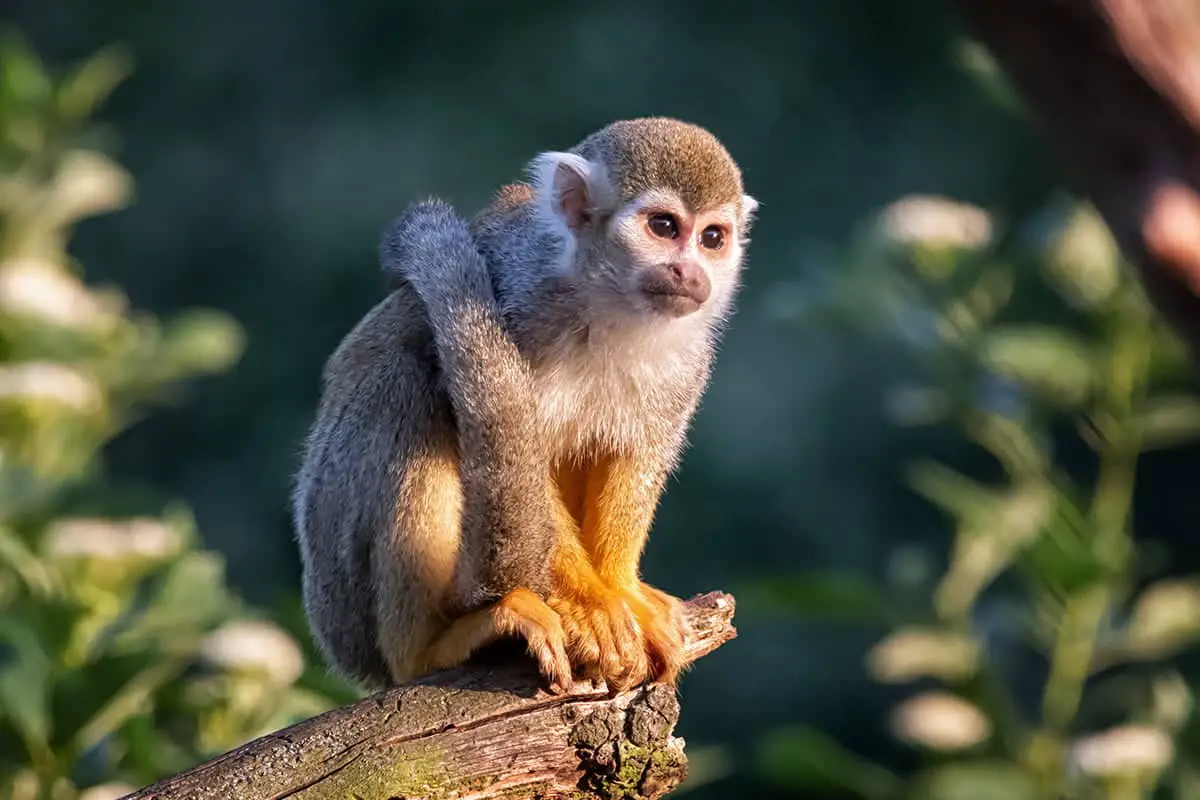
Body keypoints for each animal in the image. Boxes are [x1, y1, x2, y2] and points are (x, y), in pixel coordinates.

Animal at [293, 117, 757, 695]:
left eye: (712, 238)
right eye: (664, 227)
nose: (691, 274)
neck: (602, 305)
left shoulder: (691, 357)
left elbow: (637, 455)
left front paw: (621, 588)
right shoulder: (515, 297)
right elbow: (513, 442)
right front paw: (592, 603)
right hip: (339, 576)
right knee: (407, 385)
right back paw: (428, 650)